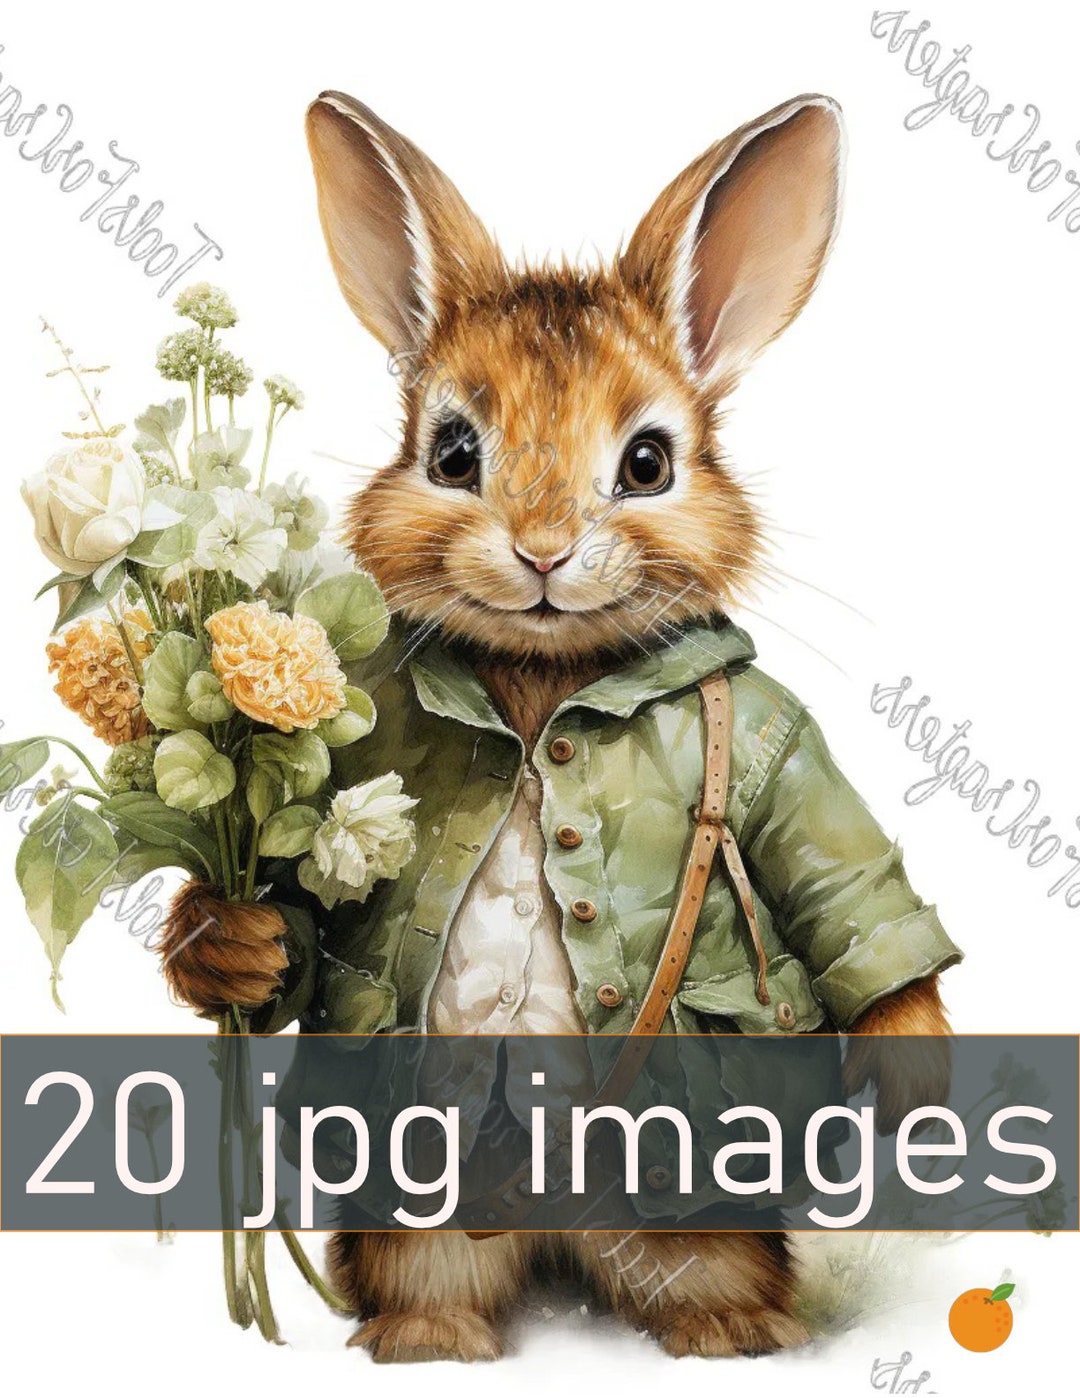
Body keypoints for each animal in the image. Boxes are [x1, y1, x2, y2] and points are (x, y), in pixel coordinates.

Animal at [165, 88, 955, 1361]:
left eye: (649, 461)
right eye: (453, 454)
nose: (541, 552)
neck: (542, 687)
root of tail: (547, 1237)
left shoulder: (772, 745)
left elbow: (846, 889)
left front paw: (920, 1089)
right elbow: (304, 922)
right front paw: (229, 945)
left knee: (703, 1252)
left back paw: (734, 1331)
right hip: (422, 1215)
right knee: (431, 1260)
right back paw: (431, 1340)